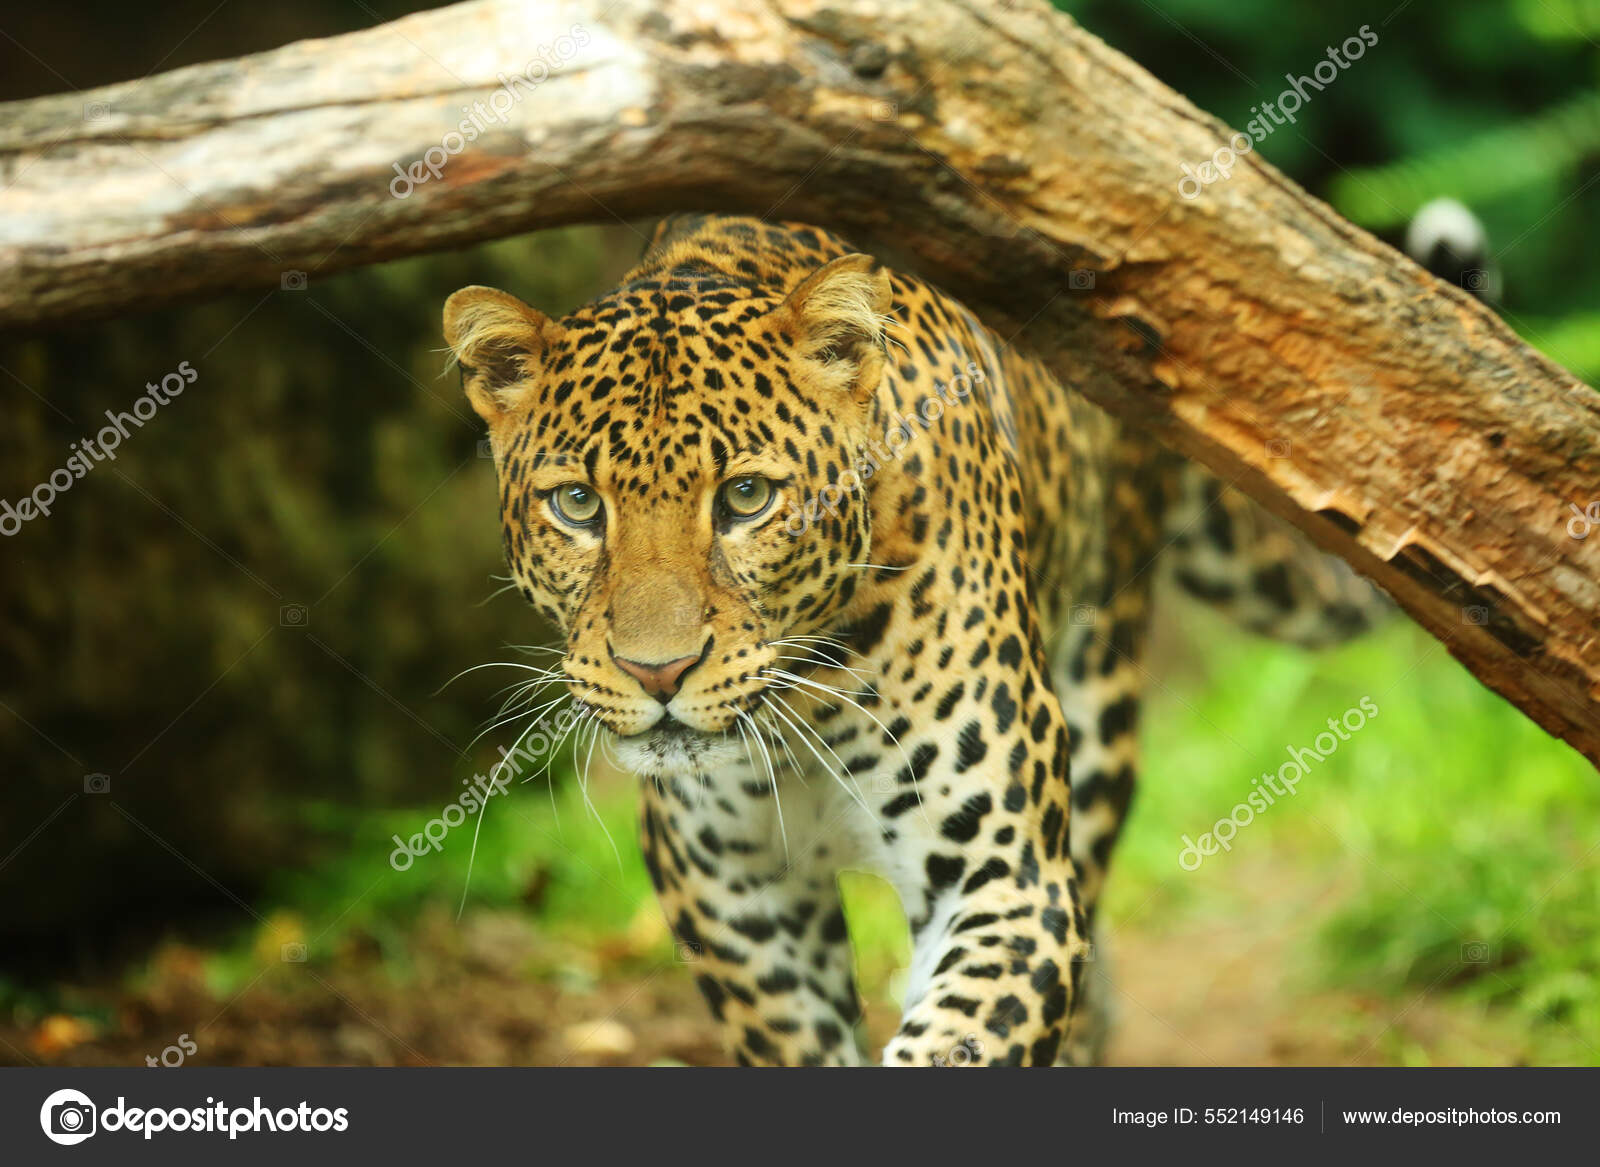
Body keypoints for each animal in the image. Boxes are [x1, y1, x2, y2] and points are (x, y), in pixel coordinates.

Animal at [442, 213, 1387, 1066]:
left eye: (746, 497)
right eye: (577, 505)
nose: (658, 672)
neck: (804, 709)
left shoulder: (1005, 877)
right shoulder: (731, 892)